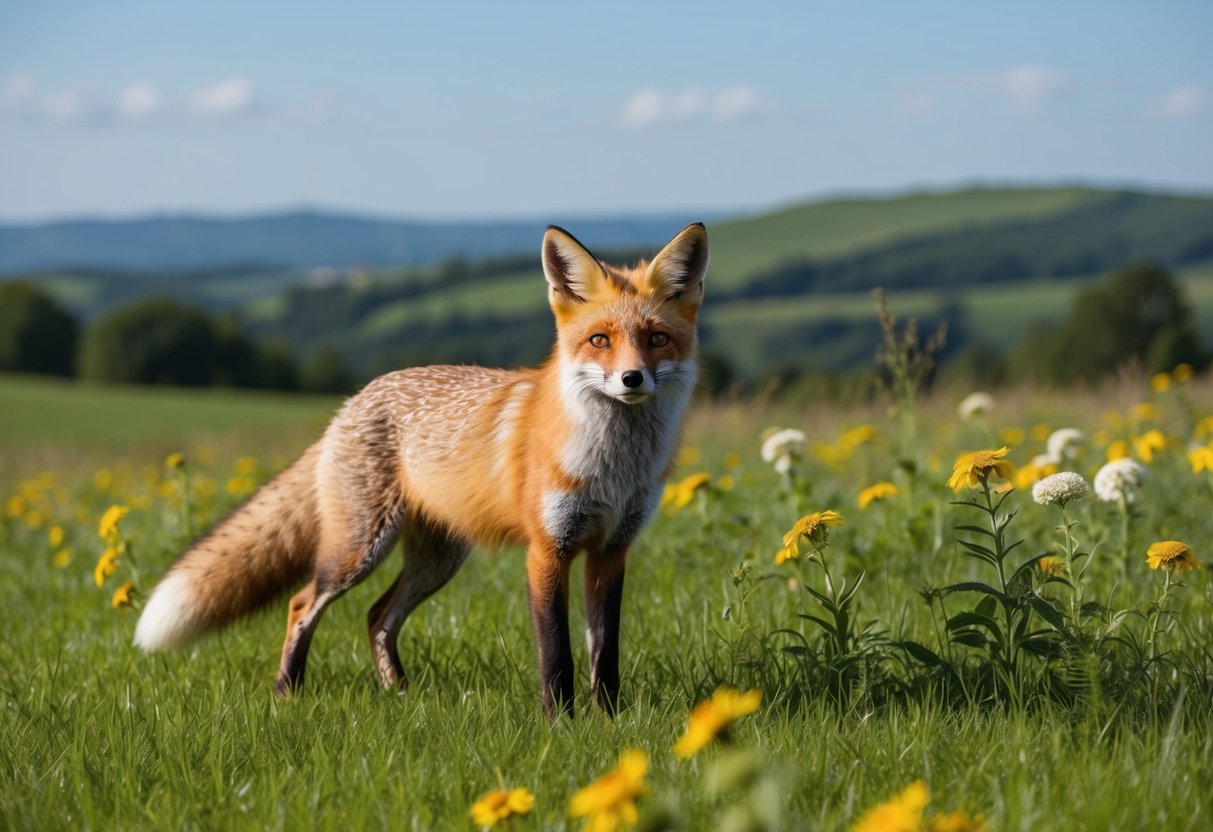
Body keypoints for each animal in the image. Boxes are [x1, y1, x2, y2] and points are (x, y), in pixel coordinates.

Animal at [134, 222, 708, 718]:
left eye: (656, 339)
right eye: (599, 340)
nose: (632, 379)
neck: (614, 466)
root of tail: (352, 401)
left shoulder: (611, 550)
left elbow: (604, 653)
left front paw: (608, 721)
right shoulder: (548, 550)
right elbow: (557, 656)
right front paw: (560, 724)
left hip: (439, 559)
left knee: (377, 617)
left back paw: (399, 694)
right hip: (358, 551)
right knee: (302, 604)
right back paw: (287, 693)